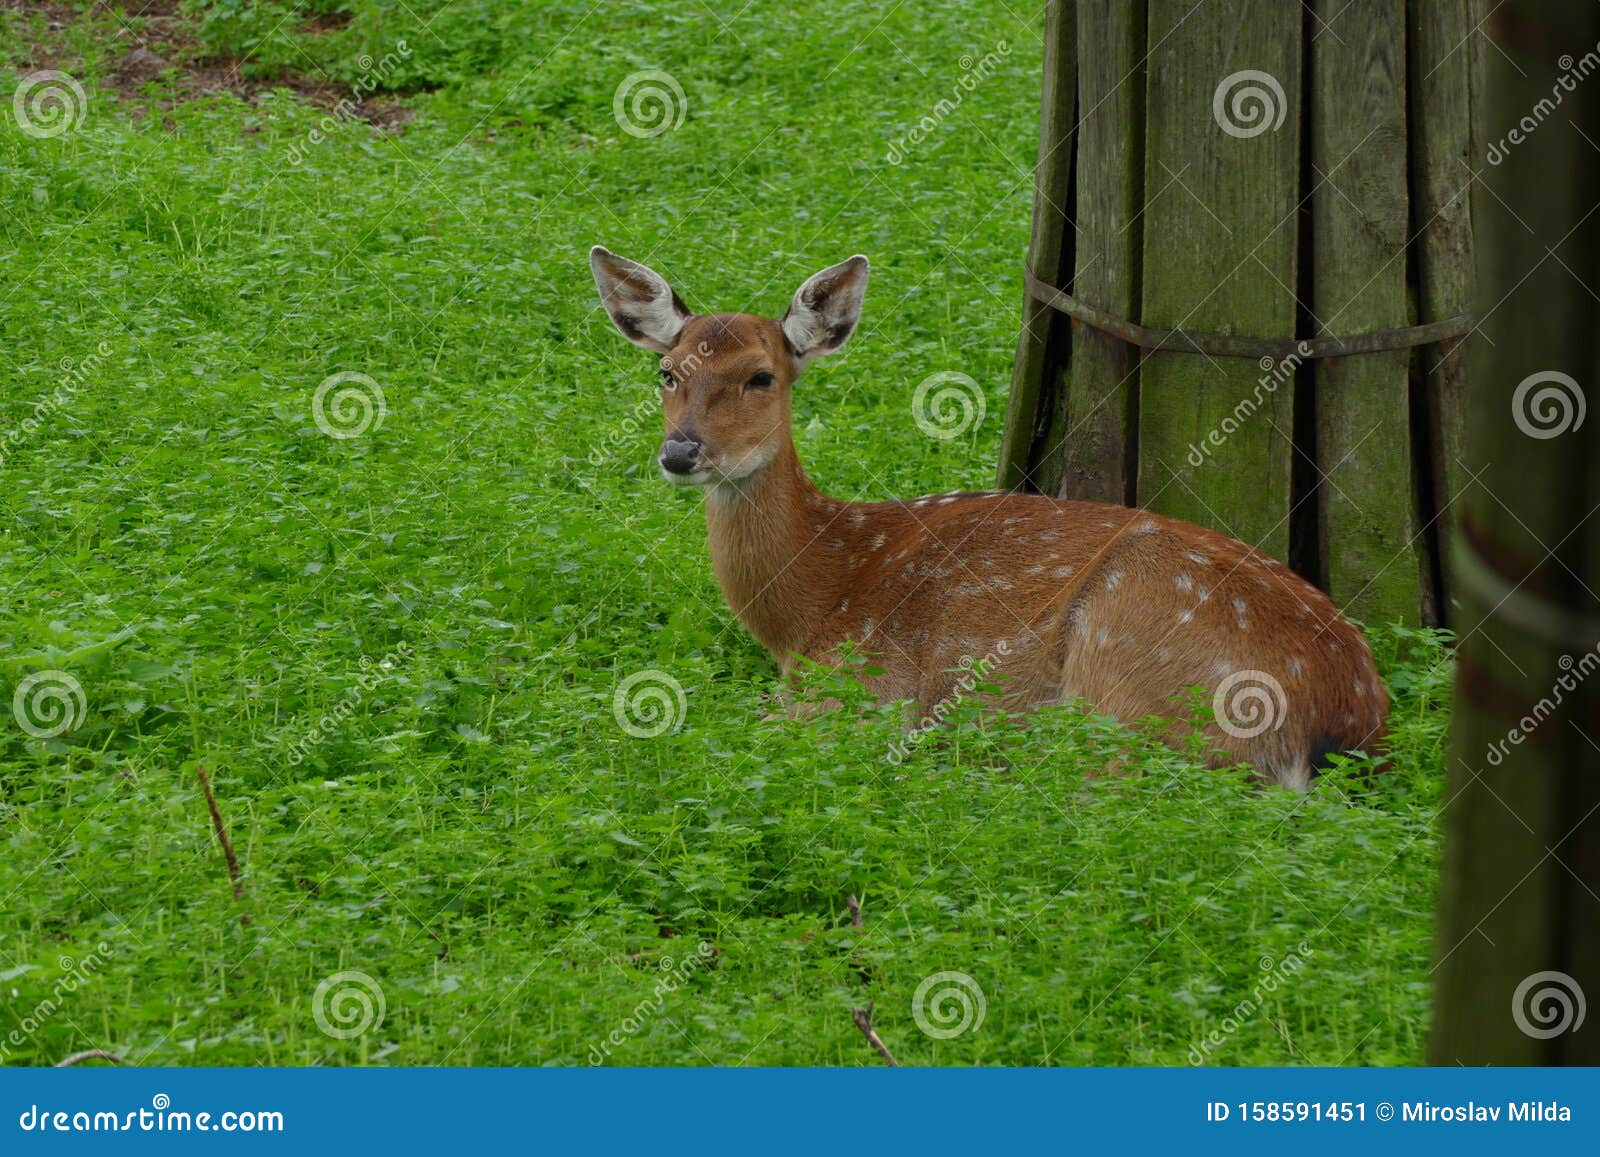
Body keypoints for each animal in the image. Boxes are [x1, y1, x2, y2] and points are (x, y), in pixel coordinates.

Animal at [589, 246, 1389, 789]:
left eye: (760, 376)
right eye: (667, 373)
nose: (680, 451)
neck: (809, 605)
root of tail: (1350, 722)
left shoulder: (856, 685)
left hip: (1135, 658)